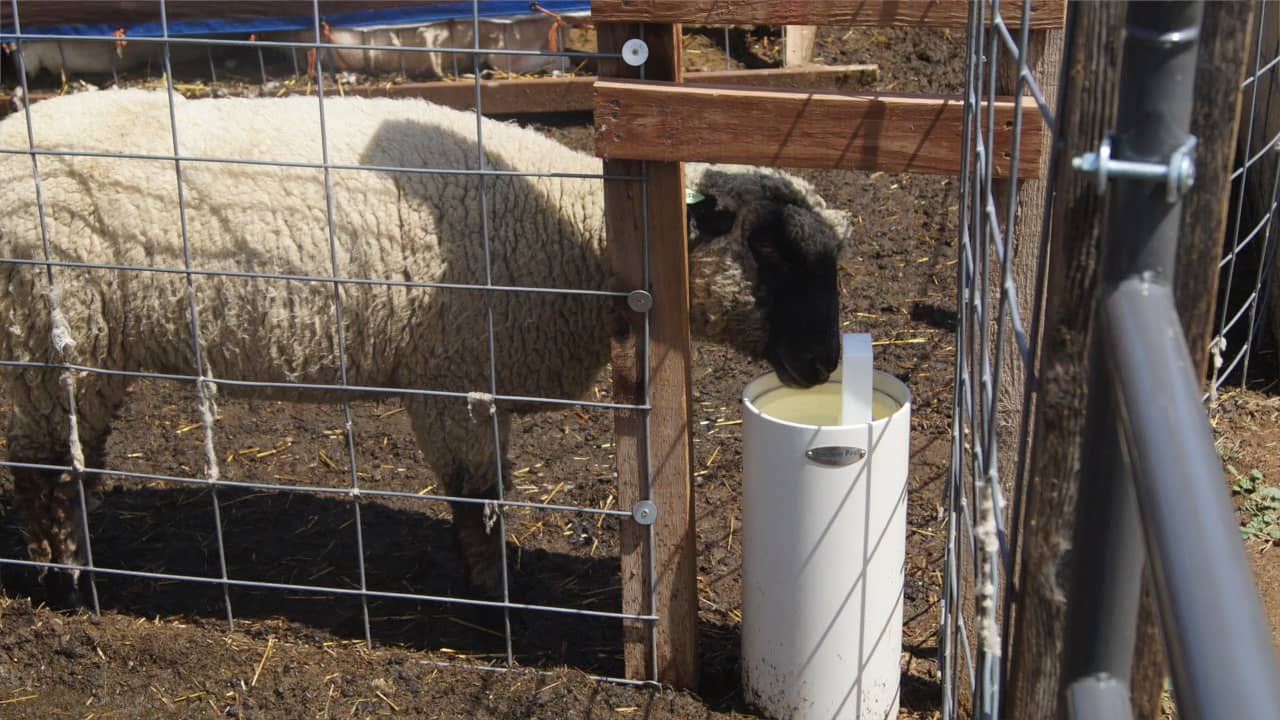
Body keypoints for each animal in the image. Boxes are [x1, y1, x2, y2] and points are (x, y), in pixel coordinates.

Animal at [0, 89, 850, 606]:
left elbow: (490, 491)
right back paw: (62, 580)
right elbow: (477, 497)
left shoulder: (483, 384)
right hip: (46, 340)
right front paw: (491, 588)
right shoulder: (456, 381)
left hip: (81, 353)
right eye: (767, 250)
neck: (581, 231)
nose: (824, 365)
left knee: (76, 459)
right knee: (40, 470)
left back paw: (87, 556)